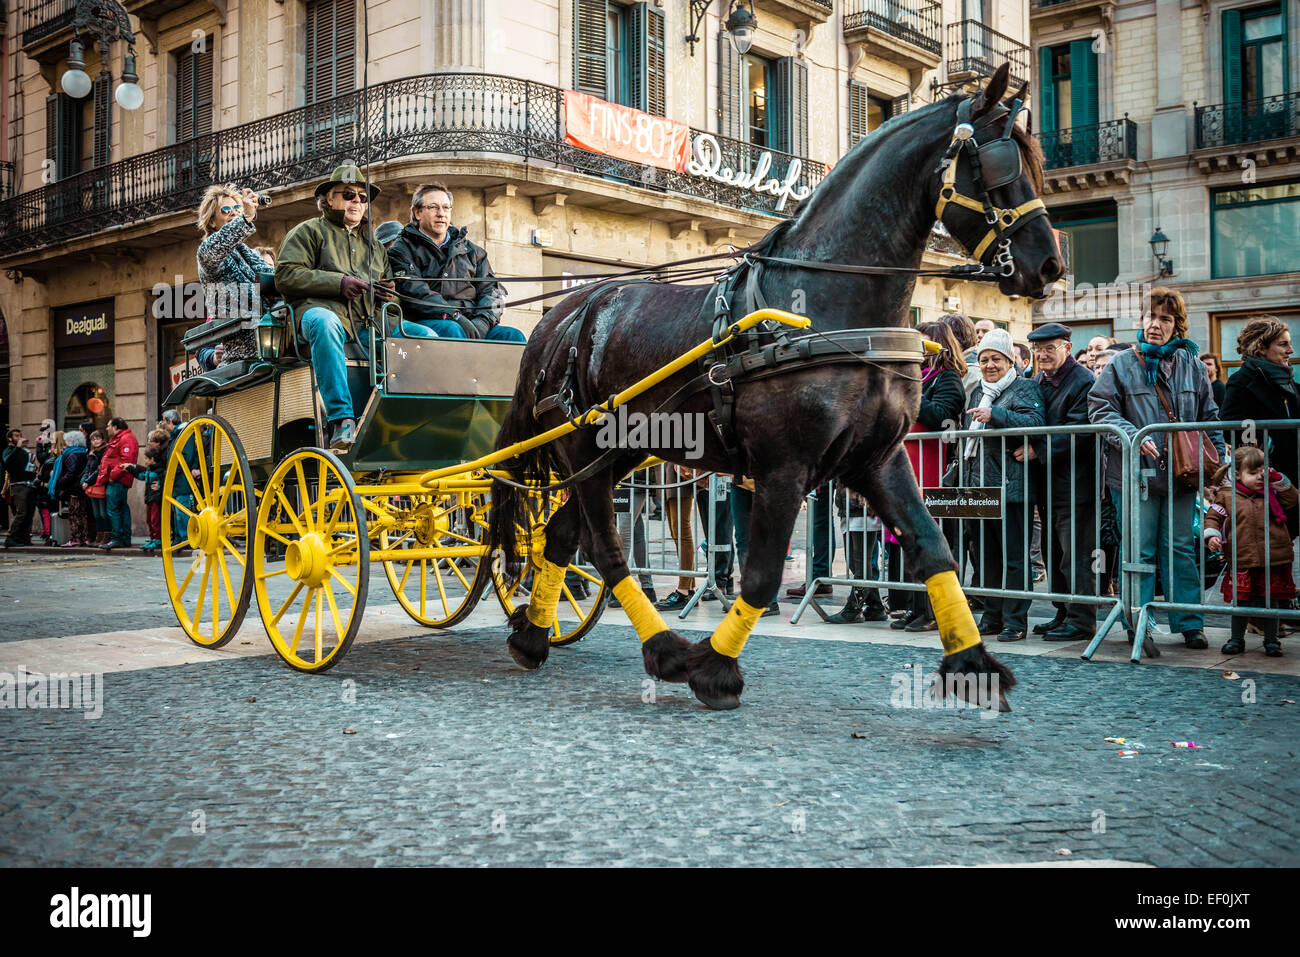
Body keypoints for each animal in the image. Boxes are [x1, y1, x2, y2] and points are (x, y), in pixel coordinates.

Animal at [485, 64, 1063, 711]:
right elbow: (760, 574)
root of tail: (564, 314)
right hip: (588, 450)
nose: (1049, 265)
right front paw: (715, 668)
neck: (827, 306)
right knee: (605, 550)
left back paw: (534, 637)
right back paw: (663, 650)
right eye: (999, 167)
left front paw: (971, 661)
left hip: (618, 455)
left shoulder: (878, 459)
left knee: (561, 538)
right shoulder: (785, 467)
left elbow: (932, 548)